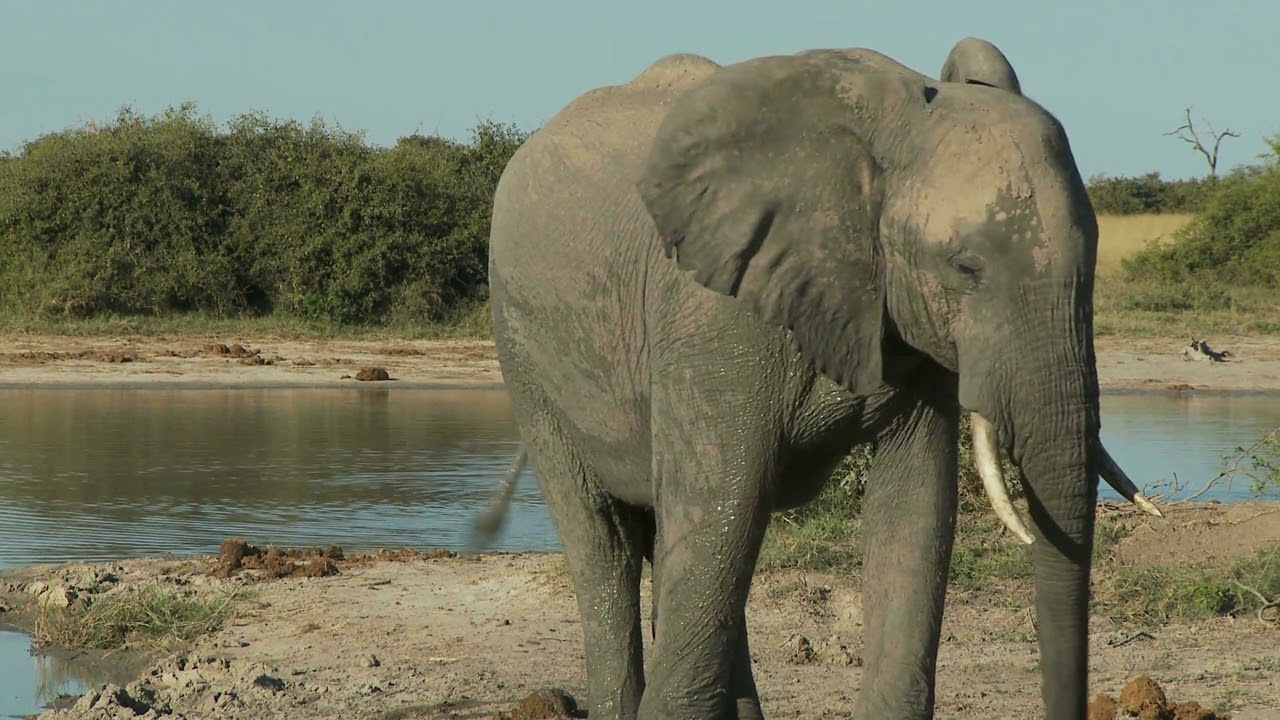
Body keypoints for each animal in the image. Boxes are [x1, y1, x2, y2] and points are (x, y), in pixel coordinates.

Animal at [473, 38, 1162, 719]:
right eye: (965, 267)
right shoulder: (716, 316)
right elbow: (722, 512)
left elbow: (914, 511)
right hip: (522, 345)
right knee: (612, 544)